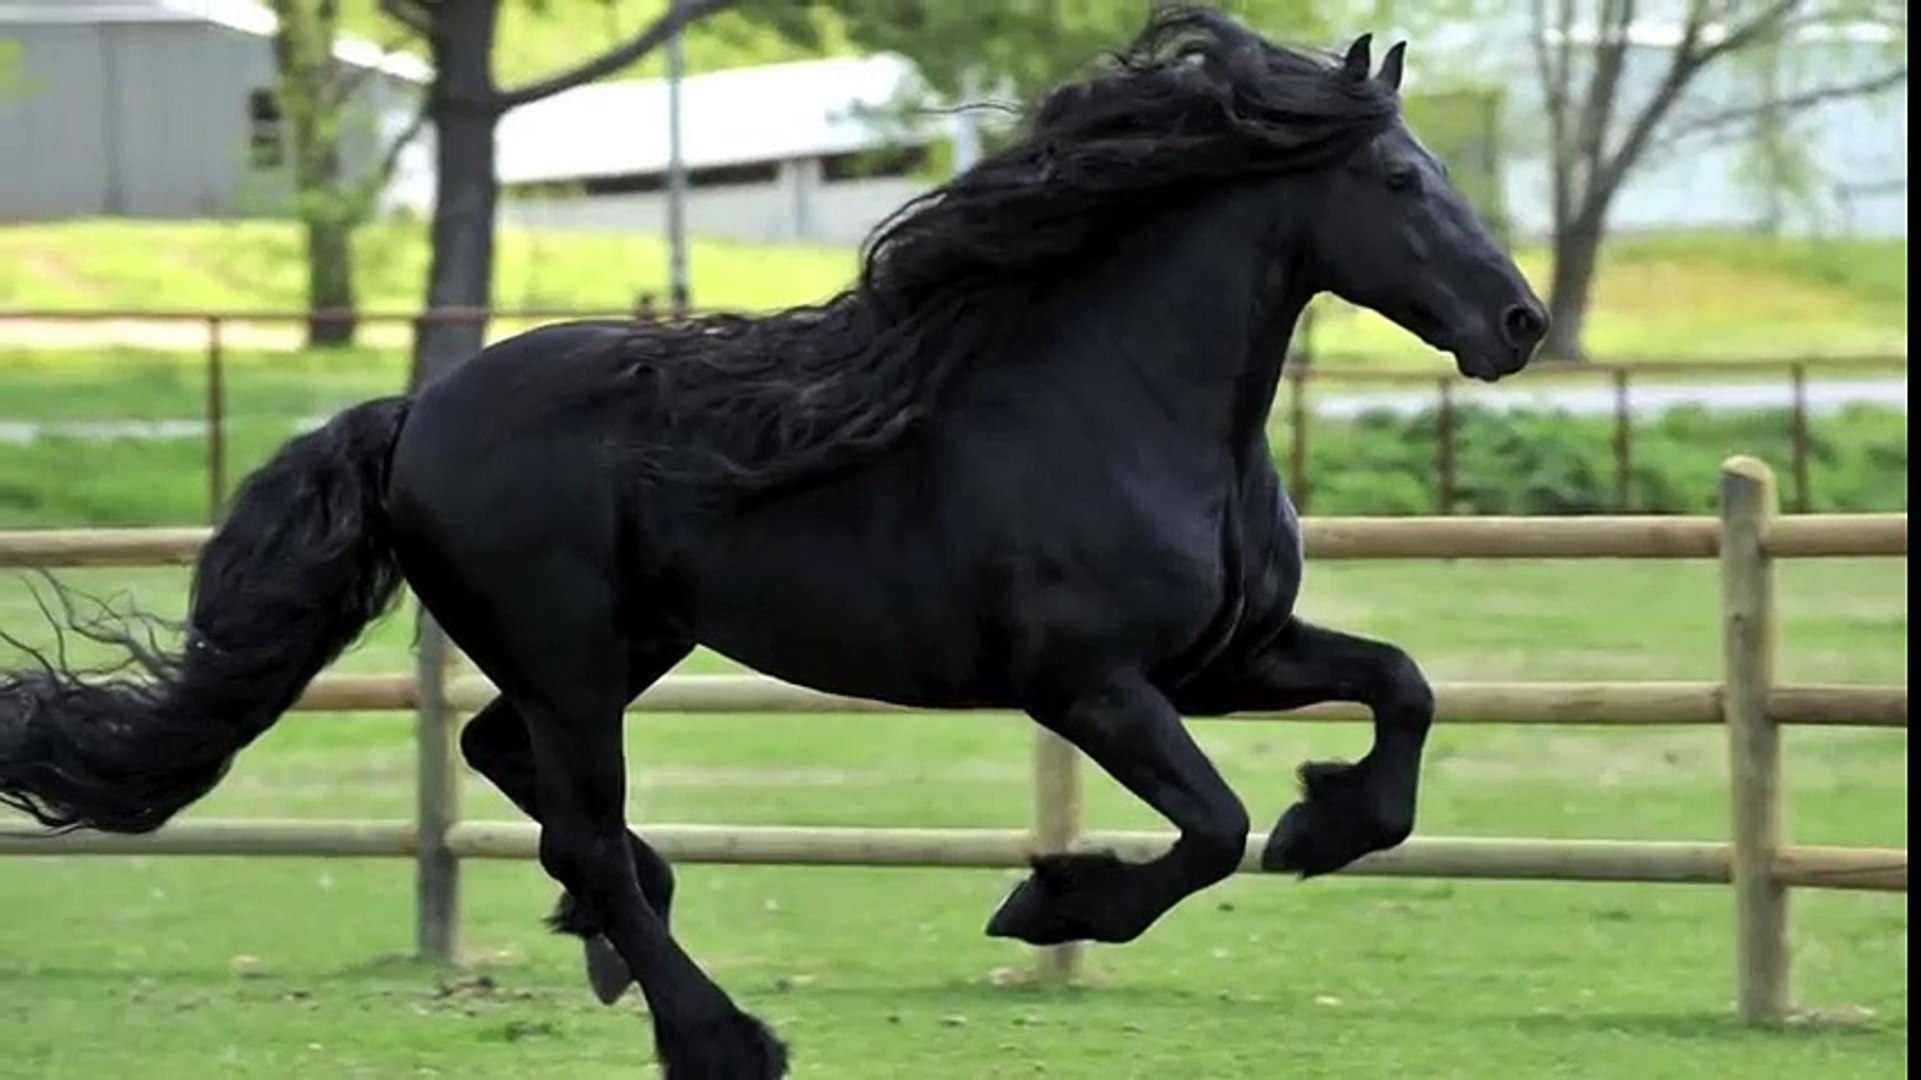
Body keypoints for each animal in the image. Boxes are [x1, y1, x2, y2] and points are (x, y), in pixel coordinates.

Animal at [1, 9, 1545, 1078]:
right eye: (1399, 179)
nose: (1520, 324)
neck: (1125, 404)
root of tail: (416, 411)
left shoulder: (1227, 656)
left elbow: (1401, 688)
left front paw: (1326, 824)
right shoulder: (1091, 684)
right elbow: (1212, 828)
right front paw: (1047, 905)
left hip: (620, 646)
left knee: (519, 775)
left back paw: (621, 953)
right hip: (574, 659)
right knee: (583, 828)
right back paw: (717, 1036)